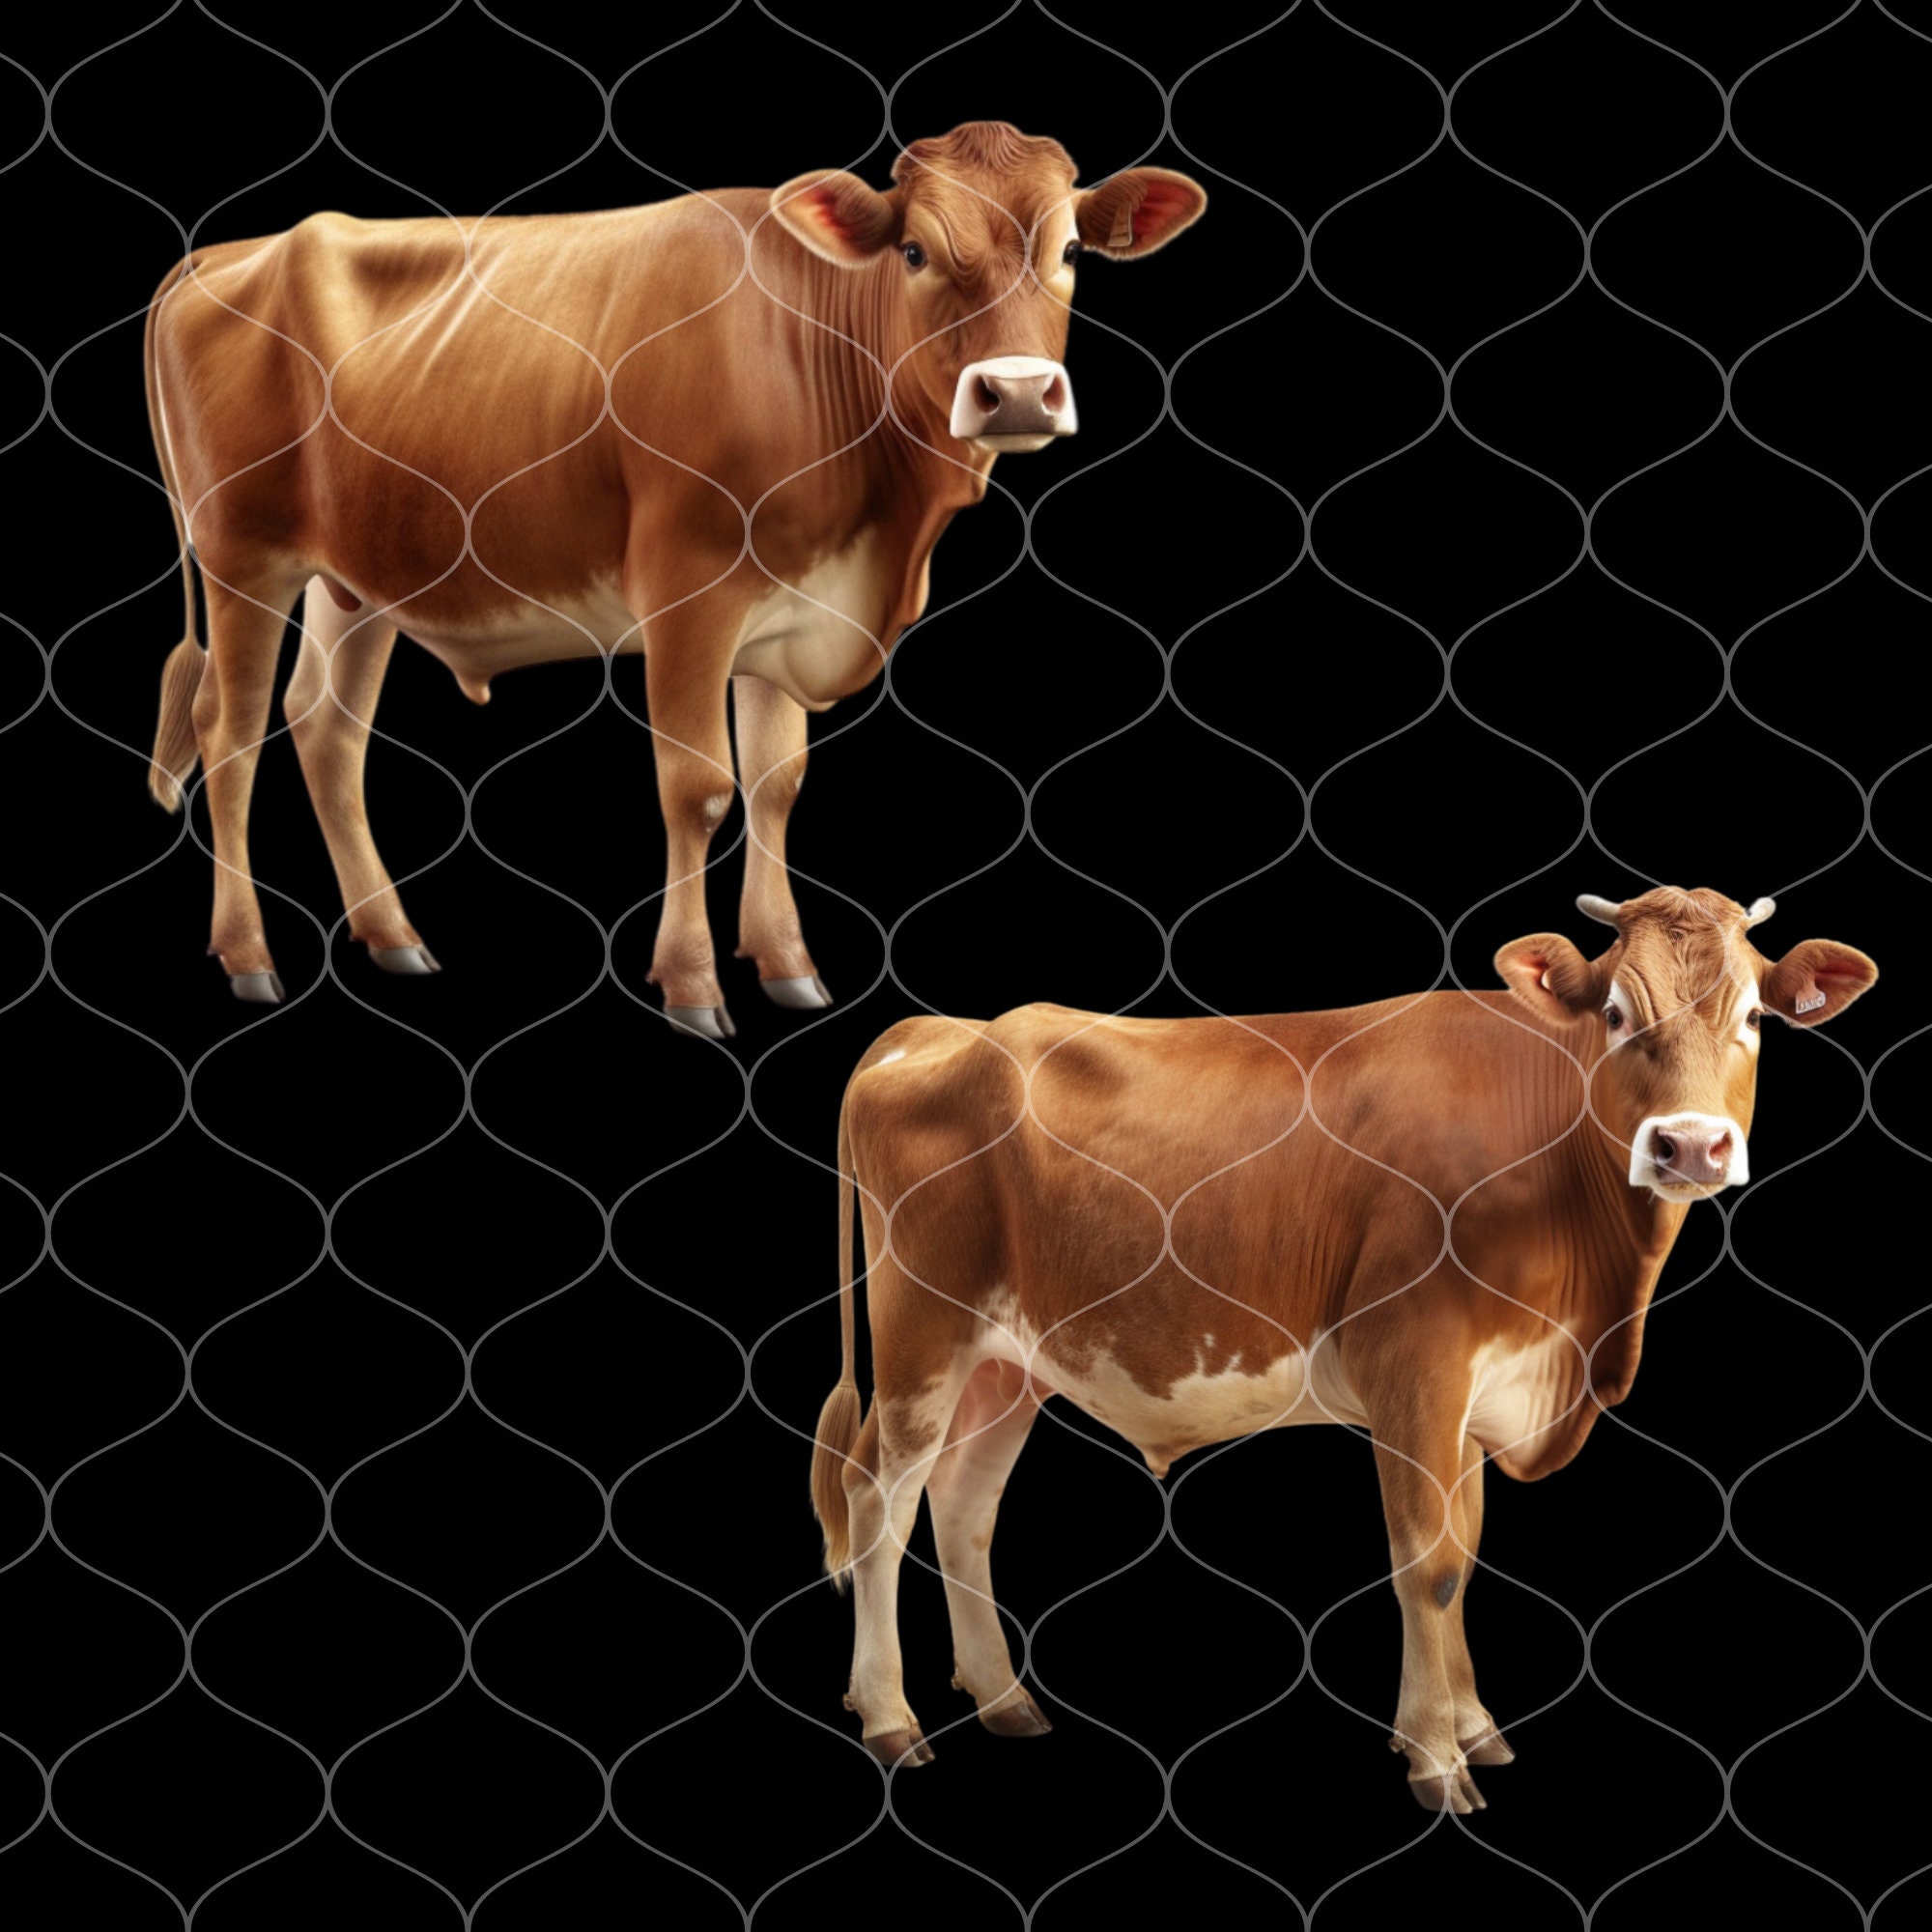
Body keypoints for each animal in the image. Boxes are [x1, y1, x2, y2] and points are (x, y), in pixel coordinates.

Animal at [140, 124, 1206, 1030]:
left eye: (1071, 253)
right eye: (913, 252)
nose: (1016, 393)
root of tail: (224, 253)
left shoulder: (788, 613)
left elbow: (777, 784)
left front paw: (788, 966)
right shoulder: (690, 590)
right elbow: (698, 787)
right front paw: (693, 986)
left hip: (356, 574)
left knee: (324, 728)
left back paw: (393, 937)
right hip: (243, 557)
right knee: (229, 730)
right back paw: (249, 957)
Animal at [808, 887, 1878, 1808]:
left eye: (1753, 1017)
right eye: (1614, 1013)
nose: (1688, 1146)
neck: (1583, 1322)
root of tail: (939, 1028)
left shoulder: (1475, 1390)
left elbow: (1465, 1552)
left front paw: (1470, 1725)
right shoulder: (1415, 1368)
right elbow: (1427, 1563)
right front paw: (1437, 1761)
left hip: (1008, 1361)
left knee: (963, 1505)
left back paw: (1003, 1699)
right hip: (923, 1334)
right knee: (878, 1501)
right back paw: (892, 1722)